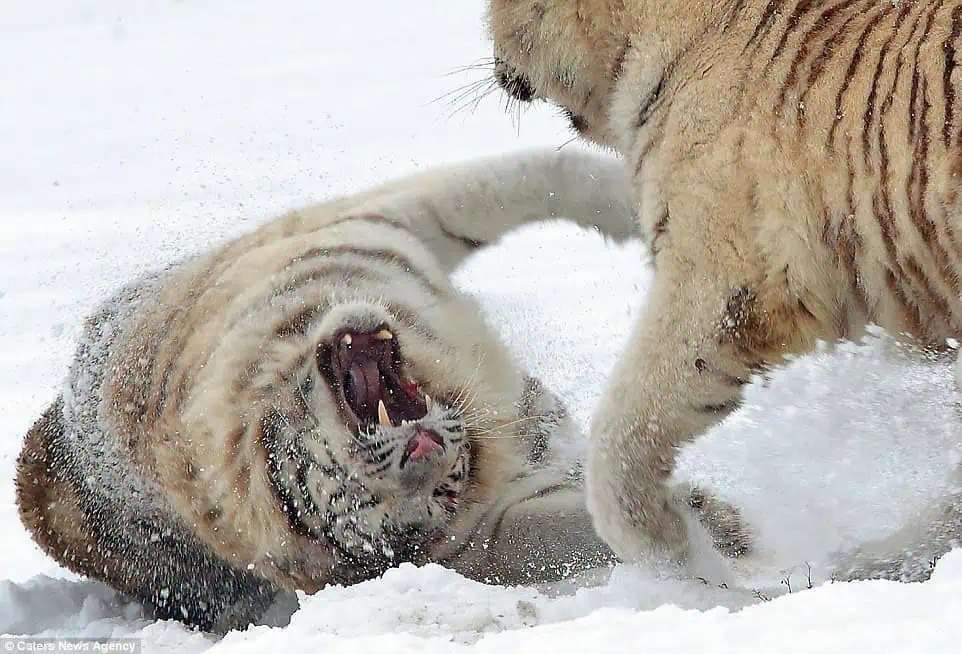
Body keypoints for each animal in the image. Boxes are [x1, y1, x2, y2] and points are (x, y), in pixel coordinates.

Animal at [14, 148, 752, 633]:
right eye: (357, 499)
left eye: (441, 476)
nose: (414, 453)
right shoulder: (481, 537)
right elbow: (569, 529)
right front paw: (719, 532)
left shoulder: (390, 221)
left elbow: (539, 173)